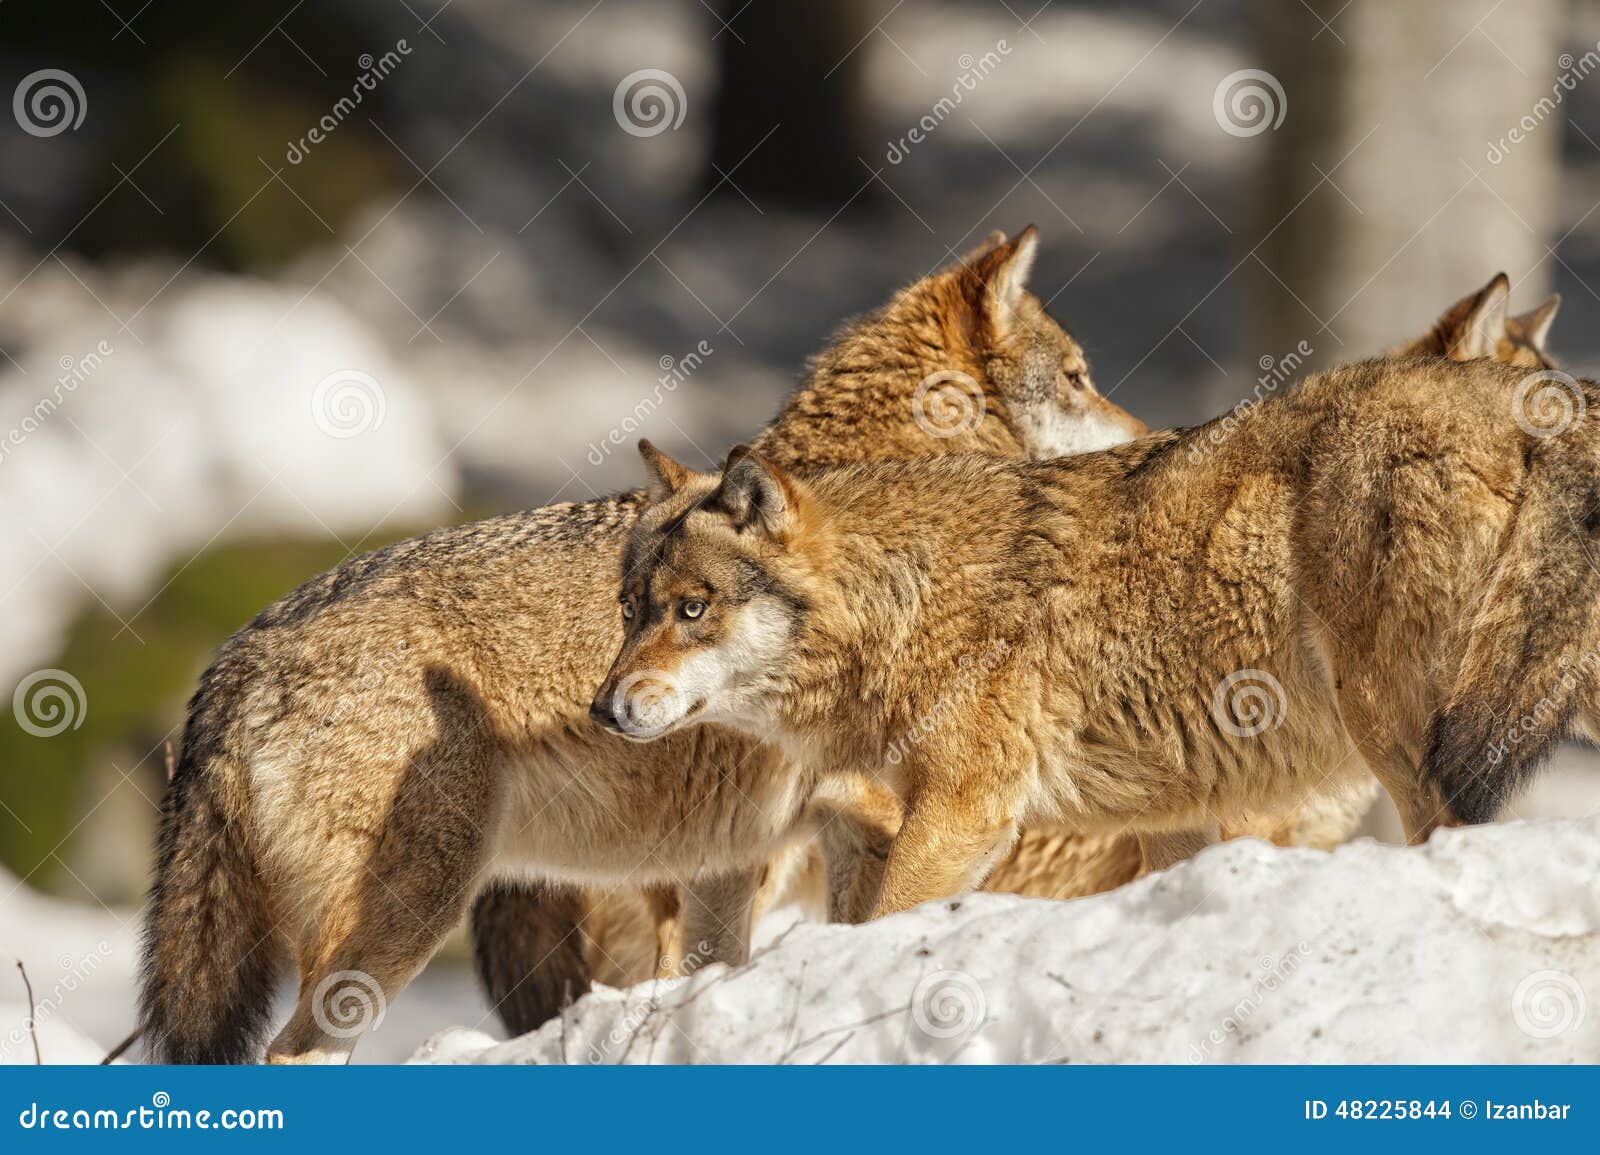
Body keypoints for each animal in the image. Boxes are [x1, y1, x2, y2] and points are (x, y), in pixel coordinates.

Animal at [138, 227, 1147, 1063]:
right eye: (1080, 377)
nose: (1149, 438)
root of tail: (235, 658)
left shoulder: (728, 863)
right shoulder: (868, 811)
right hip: (405, 919)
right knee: (294, 1053)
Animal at [599, 348, 1599, 918]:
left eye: (692, 608)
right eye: (631, 609)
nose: (604, 710)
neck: (906, 601)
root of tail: (1540, 400)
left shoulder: (965, 811)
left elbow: (885, 919)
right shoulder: (1176, 817)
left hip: (1403, 734)